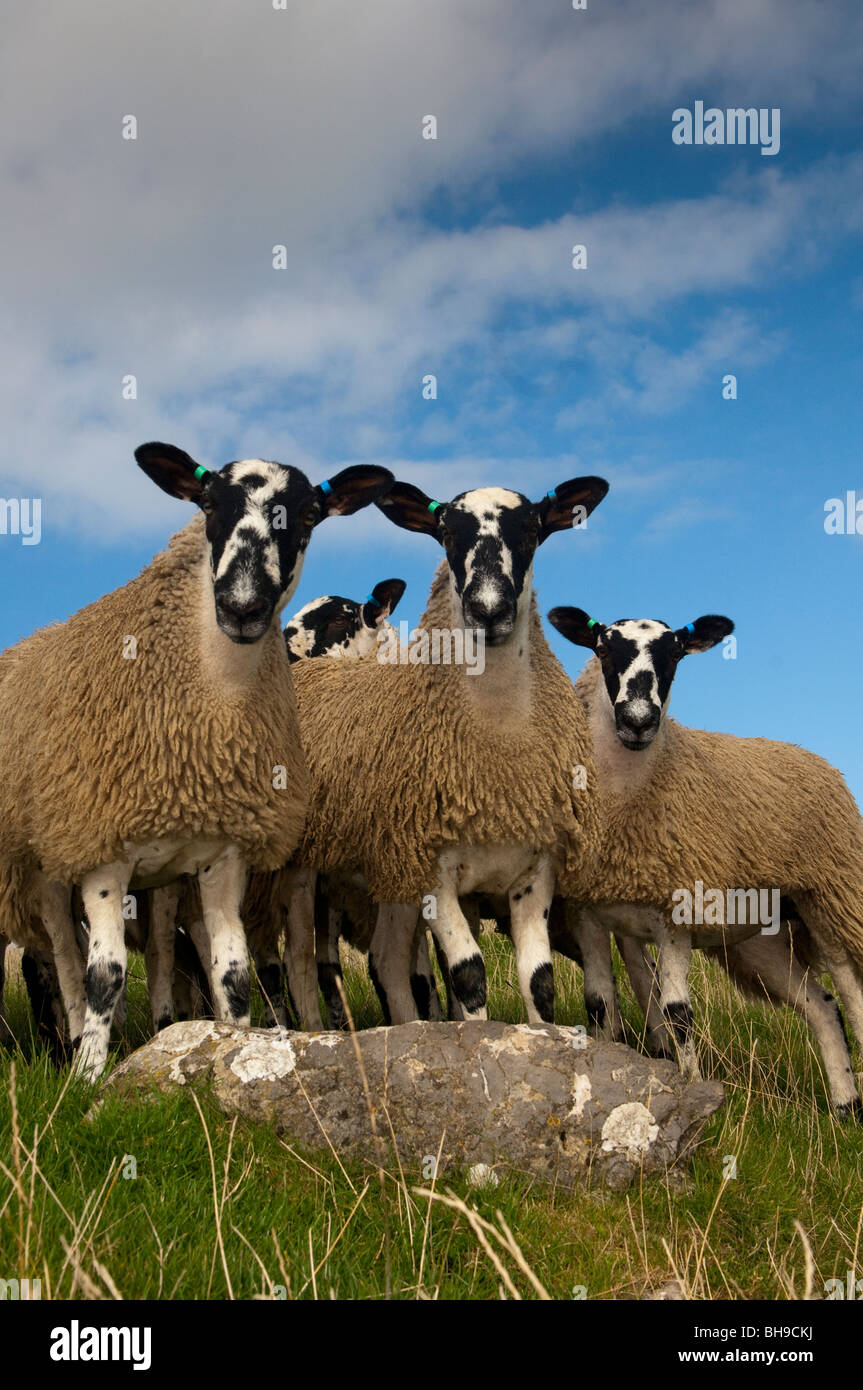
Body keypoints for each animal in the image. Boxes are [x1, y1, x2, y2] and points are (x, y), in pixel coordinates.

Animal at [0, 442, 393, 1077]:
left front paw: (231, 1049)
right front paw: (88, 1077)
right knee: (59, 953)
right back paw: (69, 1041)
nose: (242, 608)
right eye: (206, 503)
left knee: (159, 950)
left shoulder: (224, 856)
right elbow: (105, 975)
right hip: (45, 858)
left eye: (310, 515)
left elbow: (231, 975)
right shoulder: (102, 853)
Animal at [289, 474, 609, 1026]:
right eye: (445, 533)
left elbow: (539, 982)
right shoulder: (431, 872)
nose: (488, 610)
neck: (496, 749)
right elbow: (468, 975)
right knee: (301, 960)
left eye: (533, 529)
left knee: (384, 959)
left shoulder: (536, 871)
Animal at [547, 606, 863, 1114]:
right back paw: (844, 1106)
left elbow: (677, 1013)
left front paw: (693, 1090)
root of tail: (814, 758)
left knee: (852, 997)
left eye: (676, 653)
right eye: (601, 648)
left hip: (831, 900)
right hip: (758, 936)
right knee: (820, 1004)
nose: (639, 721)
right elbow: (599, 1004)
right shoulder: (586, 914)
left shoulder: (675, 913)